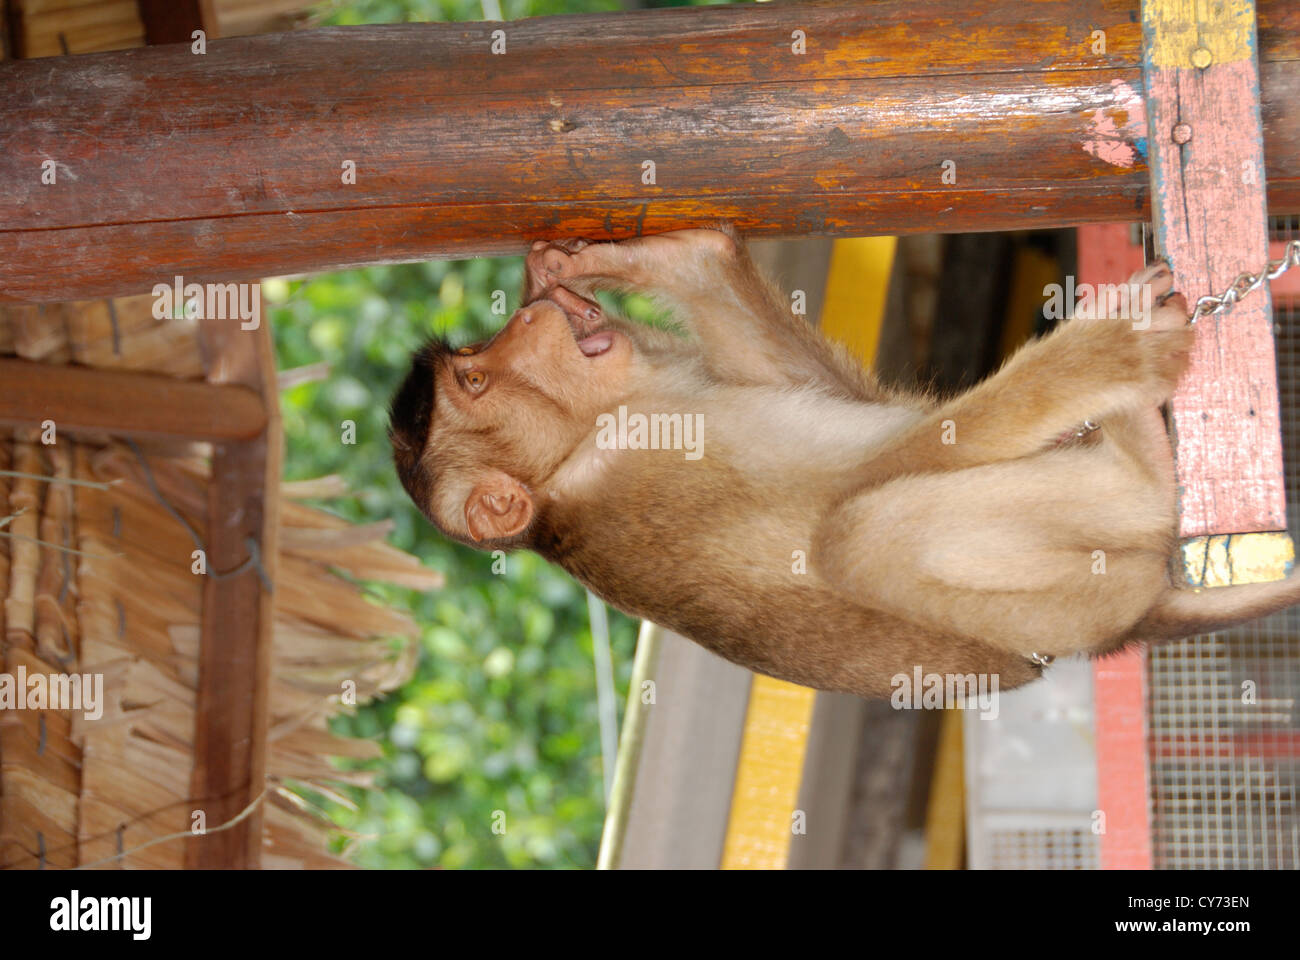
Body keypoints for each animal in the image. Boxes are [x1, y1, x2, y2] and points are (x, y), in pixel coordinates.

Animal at [389, 226, 1300, 699]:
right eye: (475, 378)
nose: (529, 318)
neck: (568, 461)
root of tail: (1133, 623)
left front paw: (670, 258)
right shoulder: (649, 450)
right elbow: (866, 476)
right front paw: (1113, 353)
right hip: (1088, 592)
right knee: (858, 535)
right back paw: (1139, 452)